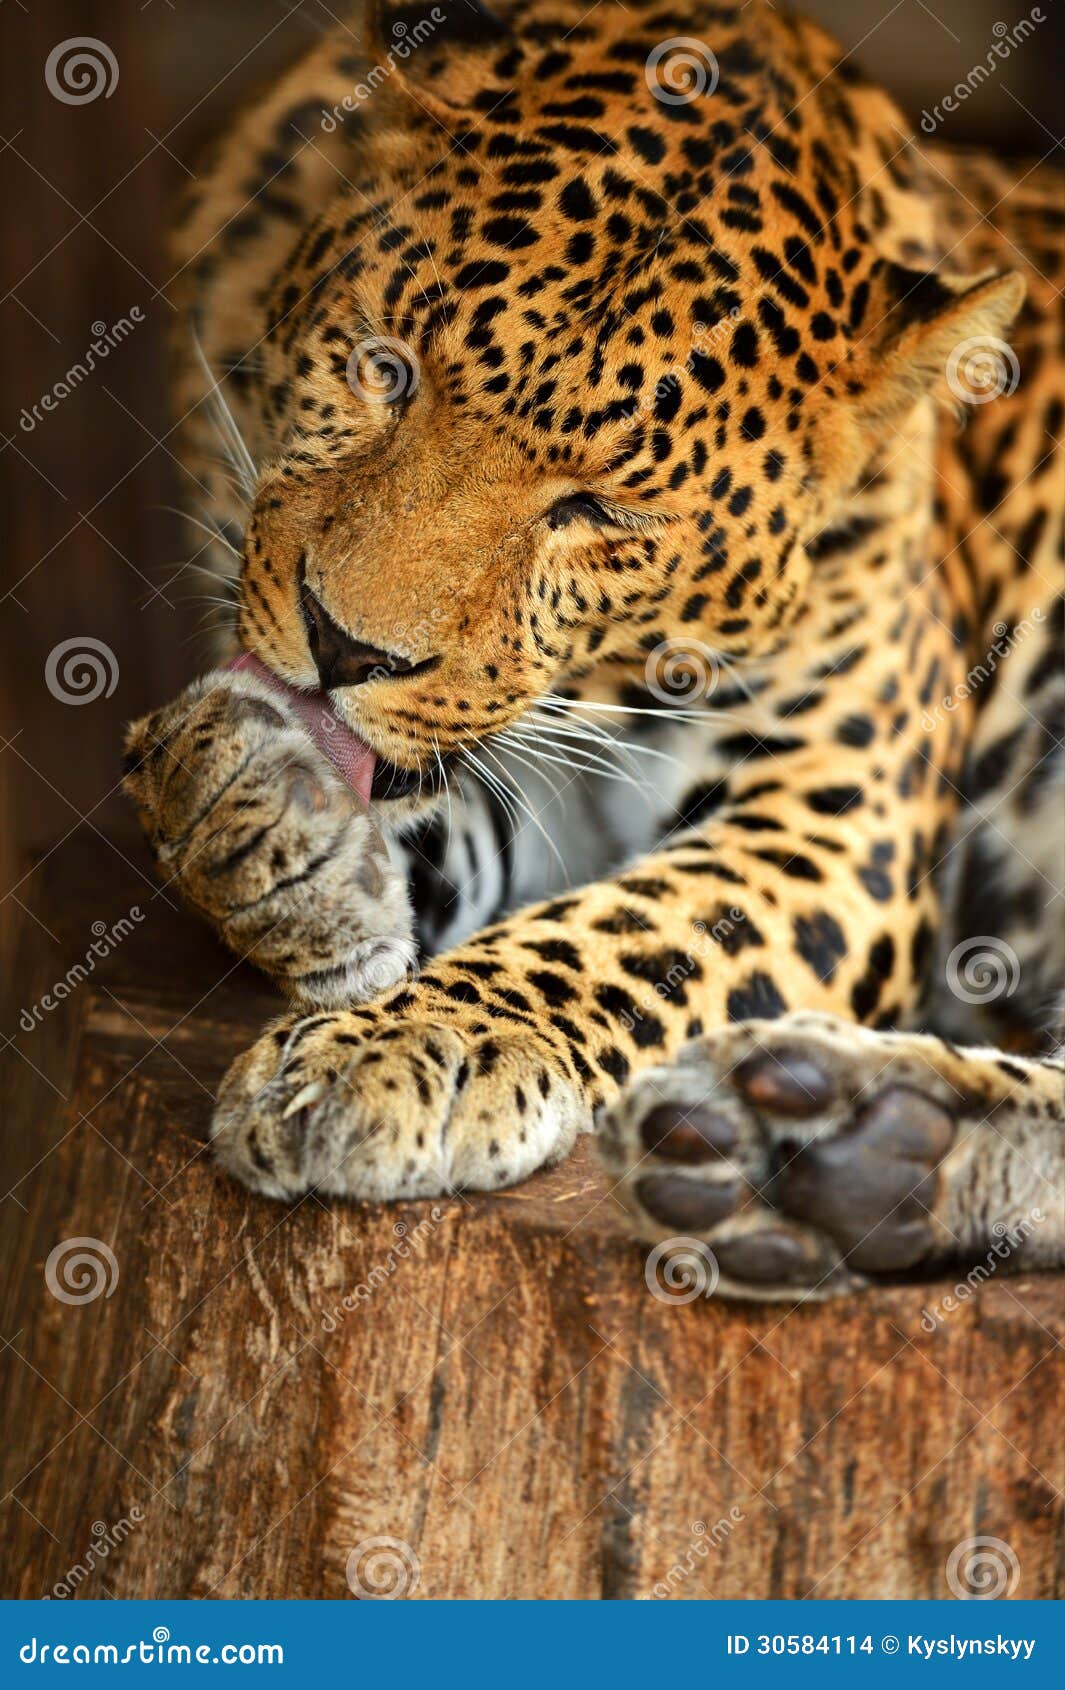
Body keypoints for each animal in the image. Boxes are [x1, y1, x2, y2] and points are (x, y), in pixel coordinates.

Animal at [123, 0, 1063, 1299]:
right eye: (384, 369)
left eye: (597, 511)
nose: (339, 647)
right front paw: (268, 818)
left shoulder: (833, 809)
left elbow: (634, 935)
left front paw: (420, 1048)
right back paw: (857, 1154)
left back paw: (843, 1137)